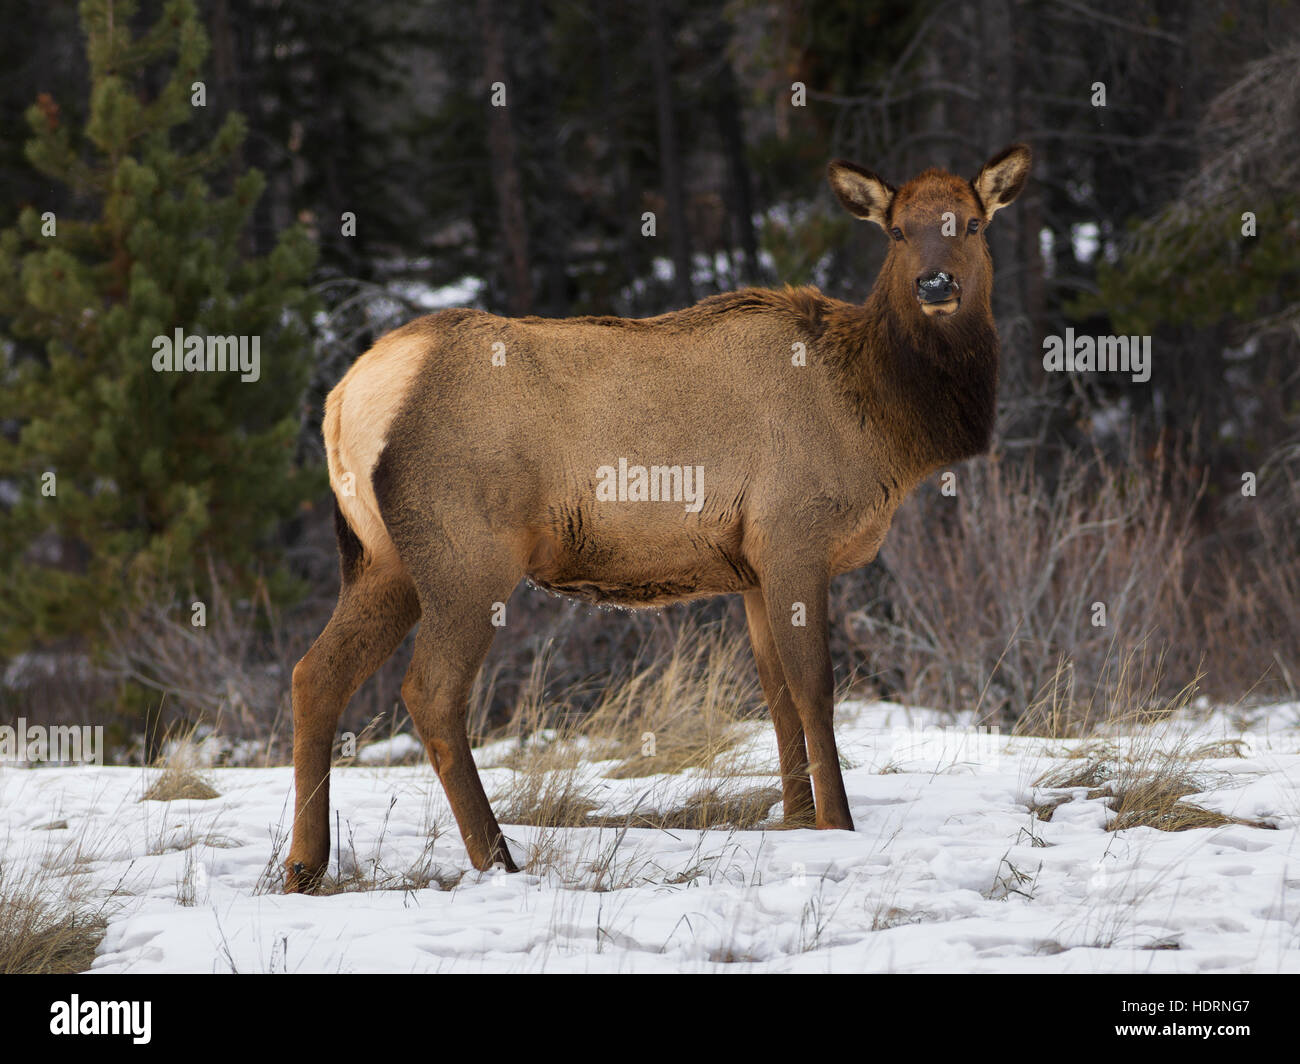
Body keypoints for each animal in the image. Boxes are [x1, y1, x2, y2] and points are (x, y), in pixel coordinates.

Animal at [284, 144, 1031, 892]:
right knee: (432, 693)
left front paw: (795, 820)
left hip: (381, 559)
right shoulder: (794, 535)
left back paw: (304, 865)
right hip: (467, 553)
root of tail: (345, 398)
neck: (882, 421)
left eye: (970, 223)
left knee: (314, 675)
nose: (936, 284)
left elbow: (776, 695)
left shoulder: (752, 566)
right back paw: (496, 857)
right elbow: (816, 690)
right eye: (898, 231)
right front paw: (837, 825)